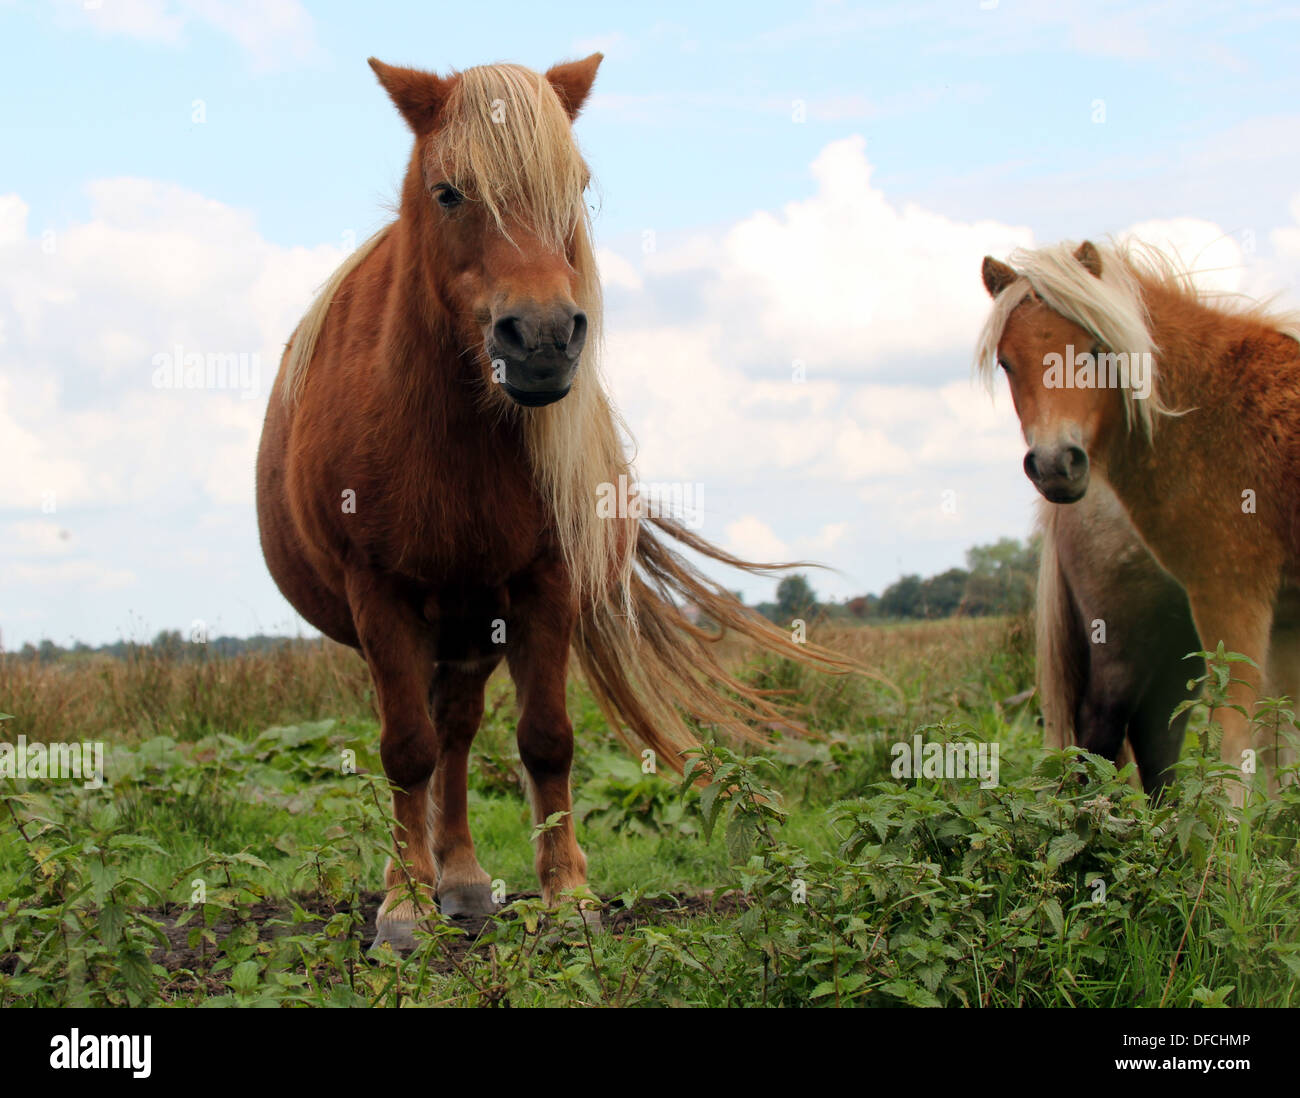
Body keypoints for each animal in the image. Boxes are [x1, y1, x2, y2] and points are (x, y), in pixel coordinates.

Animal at [256, 54, 850, 951]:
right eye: (449, 192)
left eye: (577, 186)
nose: (540, 338)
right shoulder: (379, 592)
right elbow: (404, 750)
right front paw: (403, 907)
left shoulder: (547, 583)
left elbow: (545, 742)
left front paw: (567, 897)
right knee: (429, 739)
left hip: (474, 629)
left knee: (459, 731)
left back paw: (464, 881)